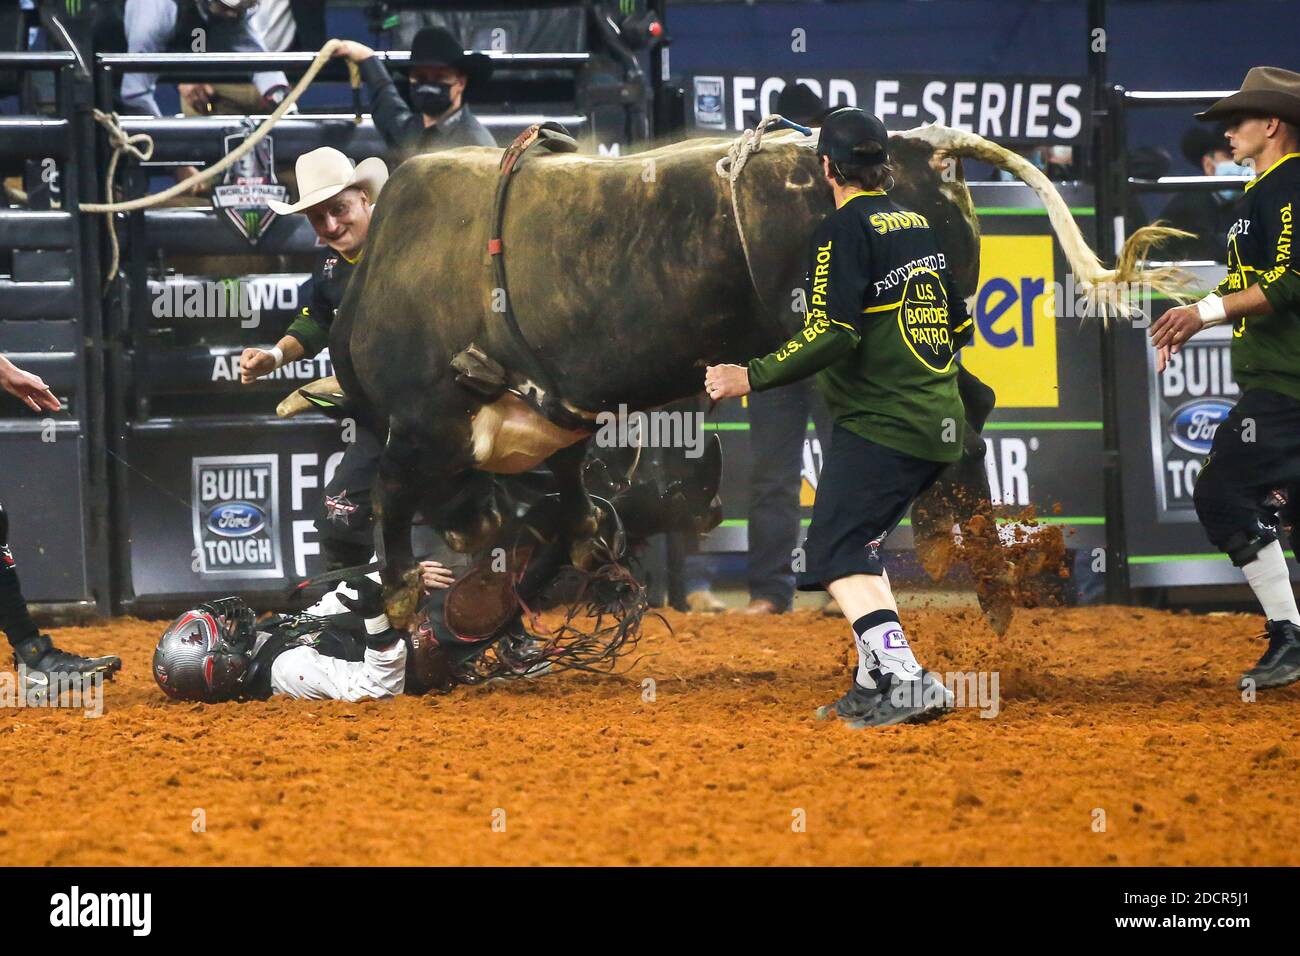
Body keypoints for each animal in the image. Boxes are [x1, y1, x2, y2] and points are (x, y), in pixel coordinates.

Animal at [307, 122, 1188, 626]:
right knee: (971, 408)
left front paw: (400, 591)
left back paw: (959, 553)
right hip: (938, 324)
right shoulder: (560, 419)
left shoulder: (423, 424)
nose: (472, 529)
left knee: (958, 421)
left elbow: (393, 497)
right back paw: (968, 556)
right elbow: (568, 496)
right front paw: (577, 553)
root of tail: (918, 145)